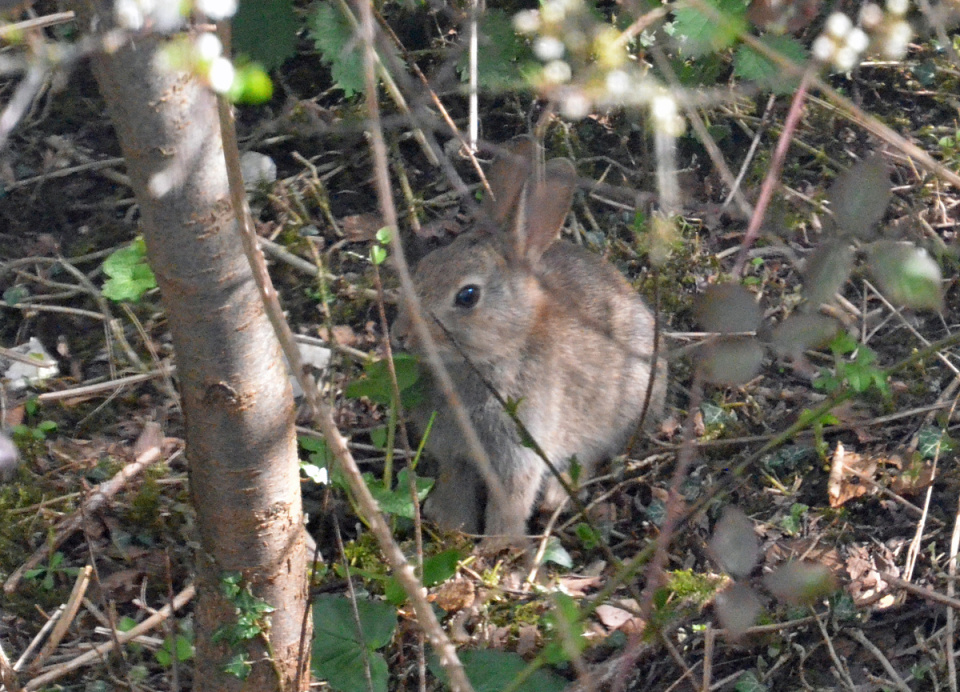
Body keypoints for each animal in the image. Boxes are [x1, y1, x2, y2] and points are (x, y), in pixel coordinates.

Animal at [392, 138, 666, 537]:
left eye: (467, 296)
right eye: (423, 268)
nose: (401, 335)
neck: (503, 347)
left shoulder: (520, 451)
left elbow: (510, 503)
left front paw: (497, 544)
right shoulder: (454, 454)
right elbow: (456, 486)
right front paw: (452, 527)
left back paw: (555, 498)